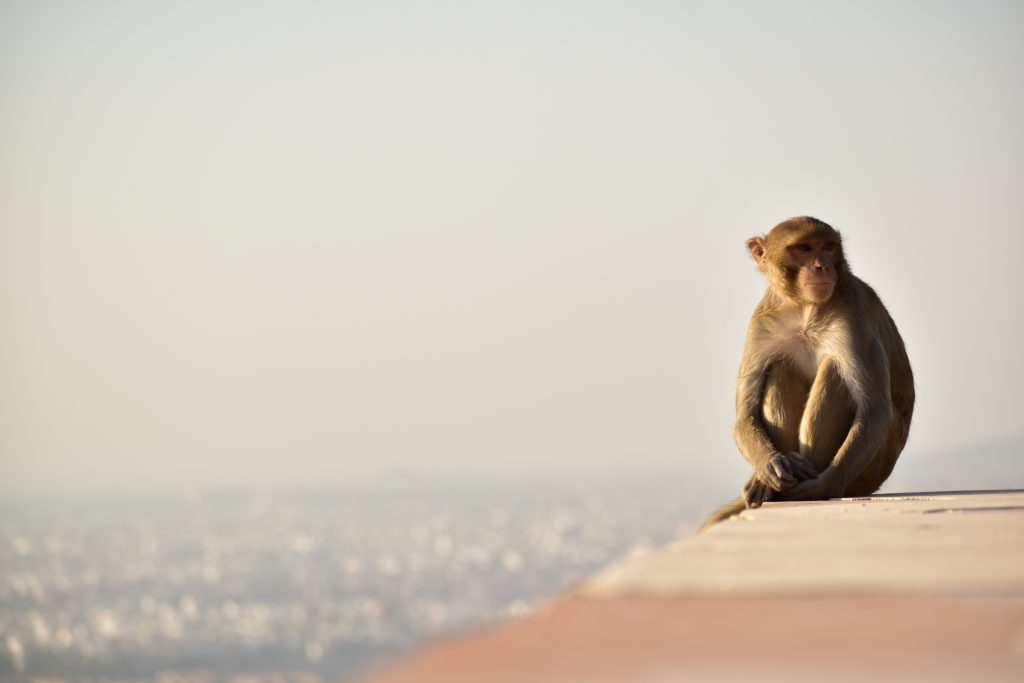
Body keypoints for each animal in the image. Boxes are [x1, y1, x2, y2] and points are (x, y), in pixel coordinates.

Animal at [701, 216, 914, 530]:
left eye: (828, 247)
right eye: (803, 248)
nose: (822, 266)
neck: (805, 308)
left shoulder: (853, 316)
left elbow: (875, 408)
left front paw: (824, 486)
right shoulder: (761, 324)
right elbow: (744, 414)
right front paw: (769, 464)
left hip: (873, 467)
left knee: (835, 370)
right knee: (779, 366)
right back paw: (772, 482)